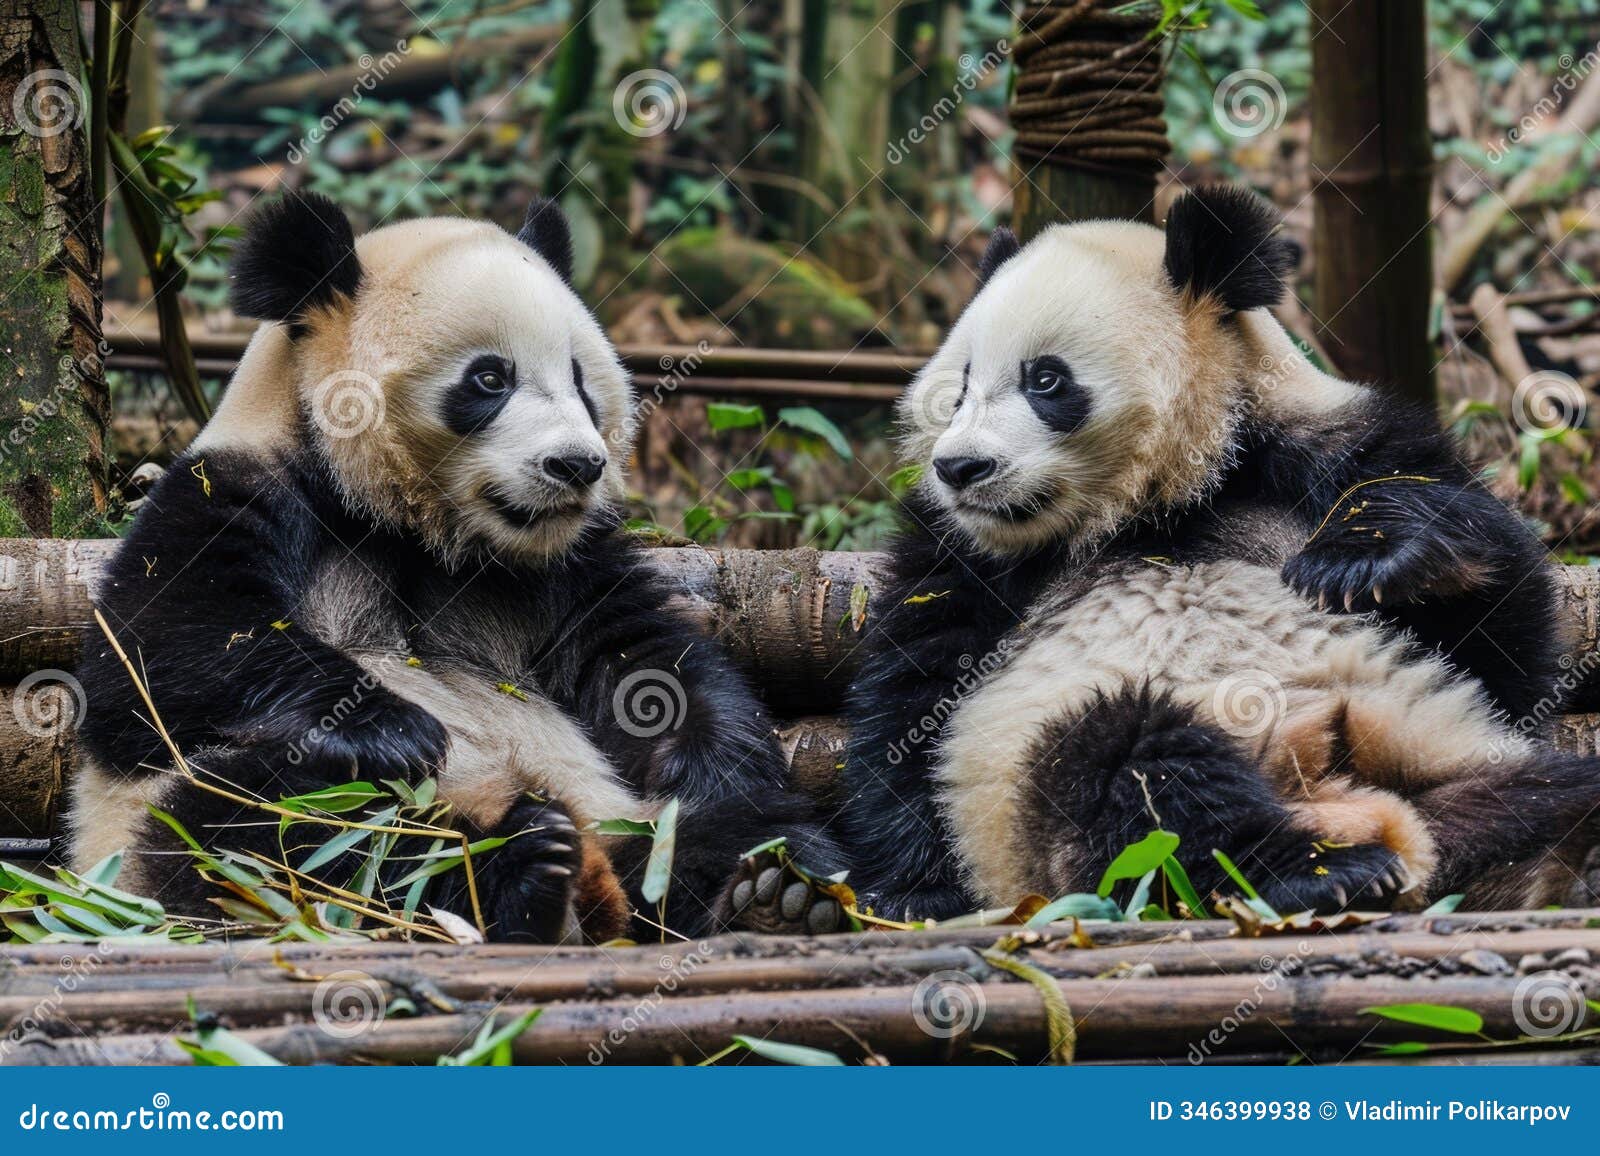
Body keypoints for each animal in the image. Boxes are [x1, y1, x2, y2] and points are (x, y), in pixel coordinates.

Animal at [69, 191, 846, 942]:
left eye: (579, 379)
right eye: (490, 377)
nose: (577, 466)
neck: (418, 527)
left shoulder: (564, 566)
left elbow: (645, 662)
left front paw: (712, 768)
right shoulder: (235, 487)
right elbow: (157, 655)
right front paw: (395, 726)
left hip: (628, 822)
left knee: (718, 837)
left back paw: (781, 890)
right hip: (163, 826)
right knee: (273, 824)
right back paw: (521, 873)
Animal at [838, 185, 1600, 922]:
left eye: (1045, 380)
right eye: (960, 387)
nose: (961, 468)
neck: (1154, 507)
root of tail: (1355, 799)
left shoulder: (1312, 444)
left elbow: (1506, 658)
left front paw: (1369, 560)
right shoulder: (960, 555)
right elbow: (914, 702)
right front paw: (915, 891)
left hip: (1467, 764)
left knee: (1553, 790)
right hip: (1048, 778)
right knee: (1135, 773)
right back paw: (1320, 873)